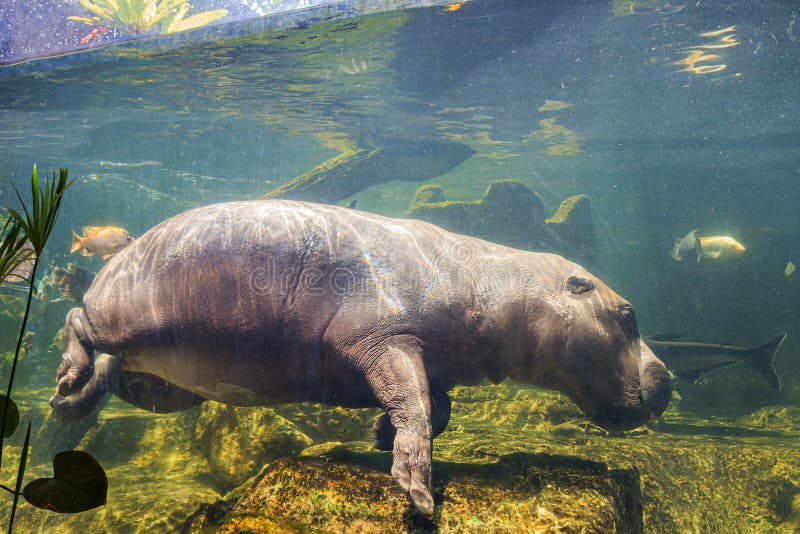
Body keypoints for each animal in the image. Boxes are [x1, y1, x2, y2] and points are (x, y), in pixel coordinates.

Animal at [50, 200, 671, 517]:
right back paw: (63, 386)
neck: (497, 285)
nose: (668, 379)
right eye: (629, 316)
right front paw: (419, 493)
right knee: (77, 322)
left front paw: (378, 436)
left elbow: (432, 405)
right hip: (124, 315)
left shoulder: (430, 362)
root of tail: (119, 257)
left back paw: (71, 403)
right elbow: (414, 401)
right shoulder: (384, 338)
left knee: (115, 372)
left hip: (168, 379)